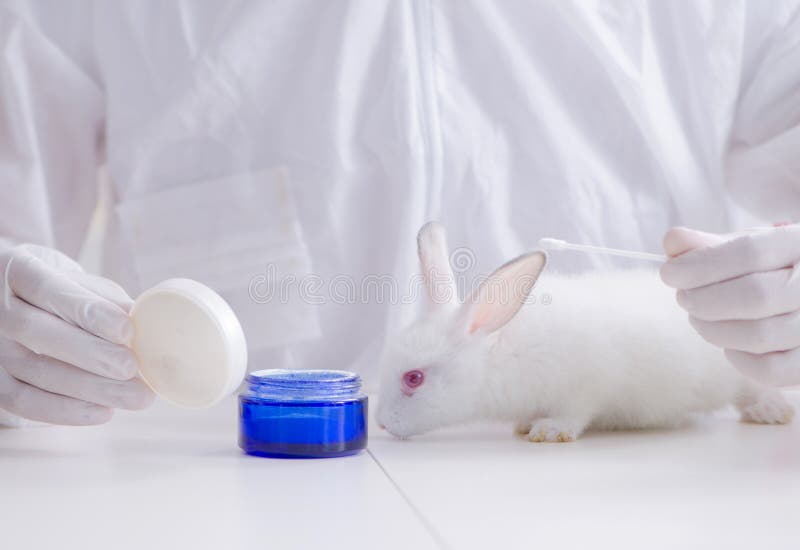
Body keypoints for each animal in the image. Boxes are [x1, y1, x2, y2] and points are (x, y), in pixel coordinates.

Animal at [375, 222, 794, 442]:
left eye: (414, 378)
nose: (380, 423)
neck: (499, 355)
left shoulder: (585, 385)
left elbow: (574, 413)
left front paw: (547, 432)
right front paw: (524, 424)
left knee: (751, 389)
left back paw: (771, 411)